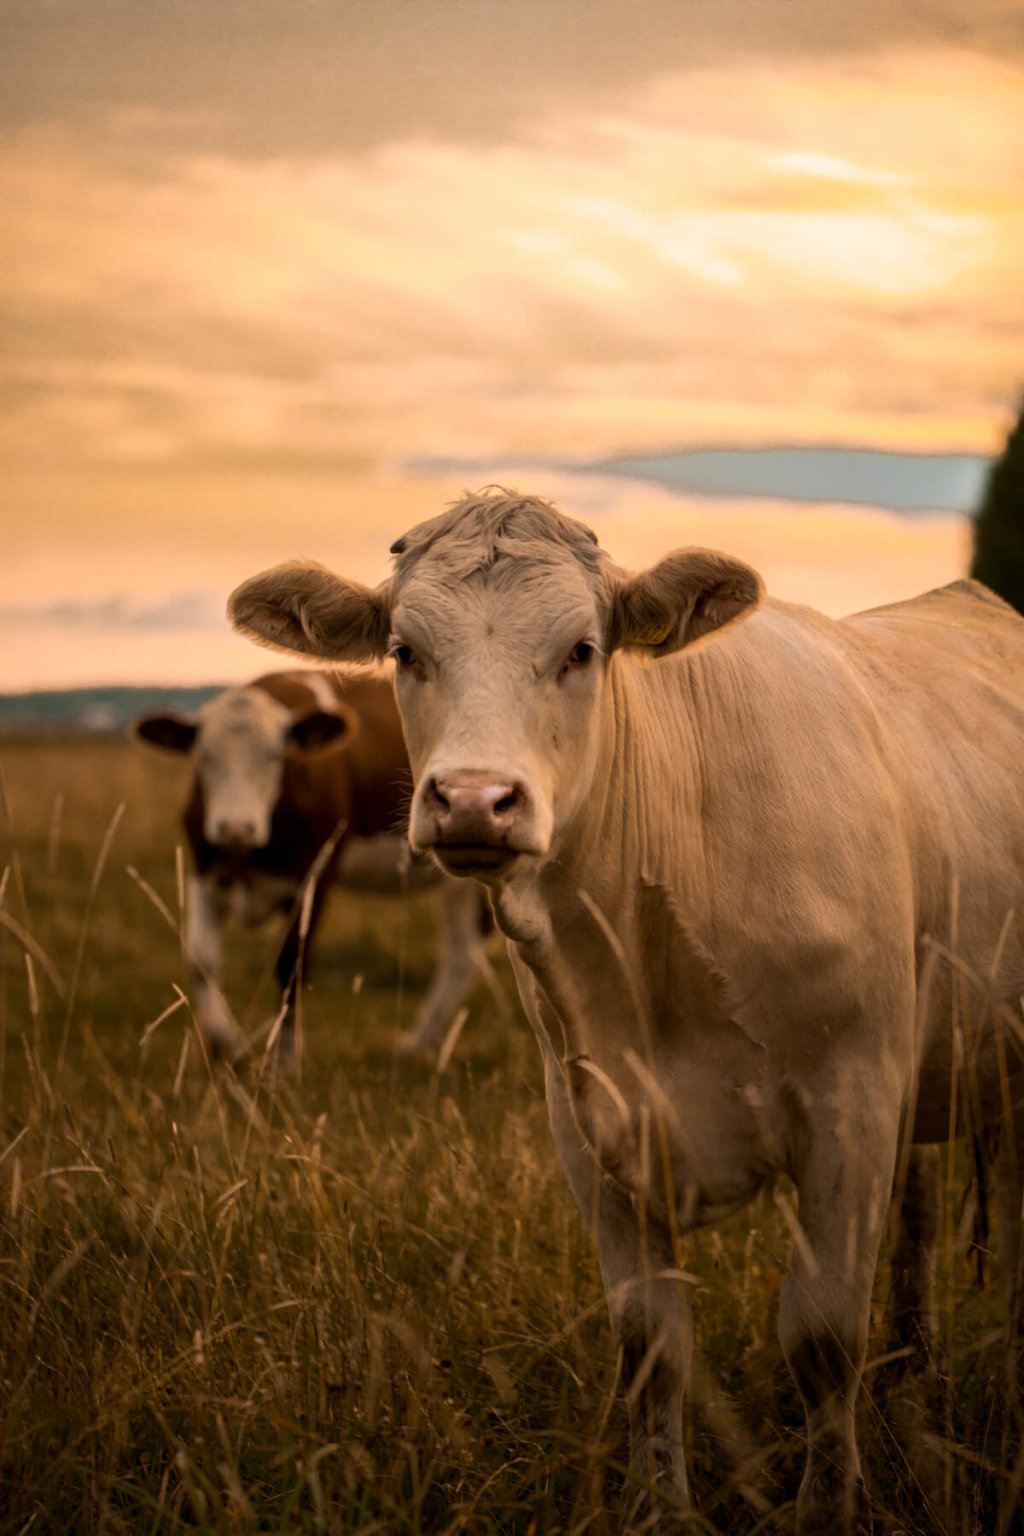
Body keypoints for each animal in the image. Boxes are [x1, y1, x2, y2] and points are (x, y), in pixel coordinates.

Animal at [134, 669, 490, 1069]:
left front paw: (284, 1062)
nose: (235, 828)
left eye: (276, 755)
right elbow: (202, 958)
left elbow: (292, 965)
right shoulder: (202, 871)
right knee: (463, 952)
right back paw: (417, 1044)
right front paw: (223, 1044)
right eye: (205, 755)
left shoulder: (315, 879)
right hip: (456, 886)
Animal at [227, 489, 1024, 1534]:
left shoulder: (848, 1102)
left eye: (580, 650)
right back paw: (915, 1364)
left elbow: (821, 1336)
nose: (473, 801)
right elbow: (651, 1344)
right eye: (405, 650)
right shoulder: (593, 1122)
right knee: (923, 1220)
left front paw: (825, 1506)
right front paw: (658, 1504)